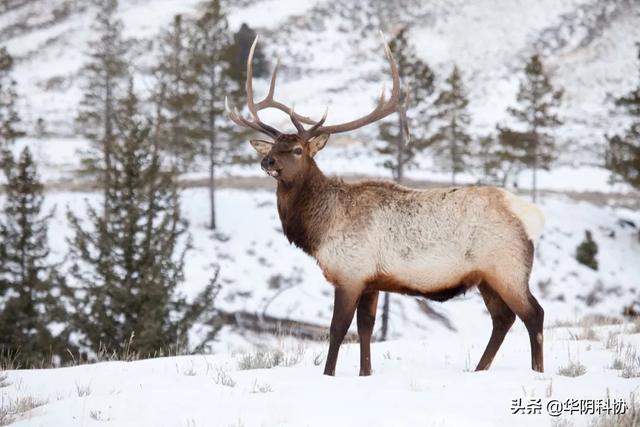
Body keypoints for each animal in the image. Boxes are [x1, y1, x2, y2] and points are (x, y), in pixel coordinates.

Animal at [225, 34, 545, 377]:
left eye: (298, 149)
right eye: (273, 146)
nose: (267, 162)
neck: (319, 230)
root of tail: (533, 217)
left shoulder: (350, 273)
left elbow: (338, 330)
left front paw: (328, 374)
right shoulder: (371, 280)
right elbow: (367, 328)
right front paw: (365, 373)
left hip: (508, 268)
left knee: (533, 314)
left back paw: (537, 371)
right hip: (487, 277)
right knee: (503, 319)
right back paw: (480, 370)